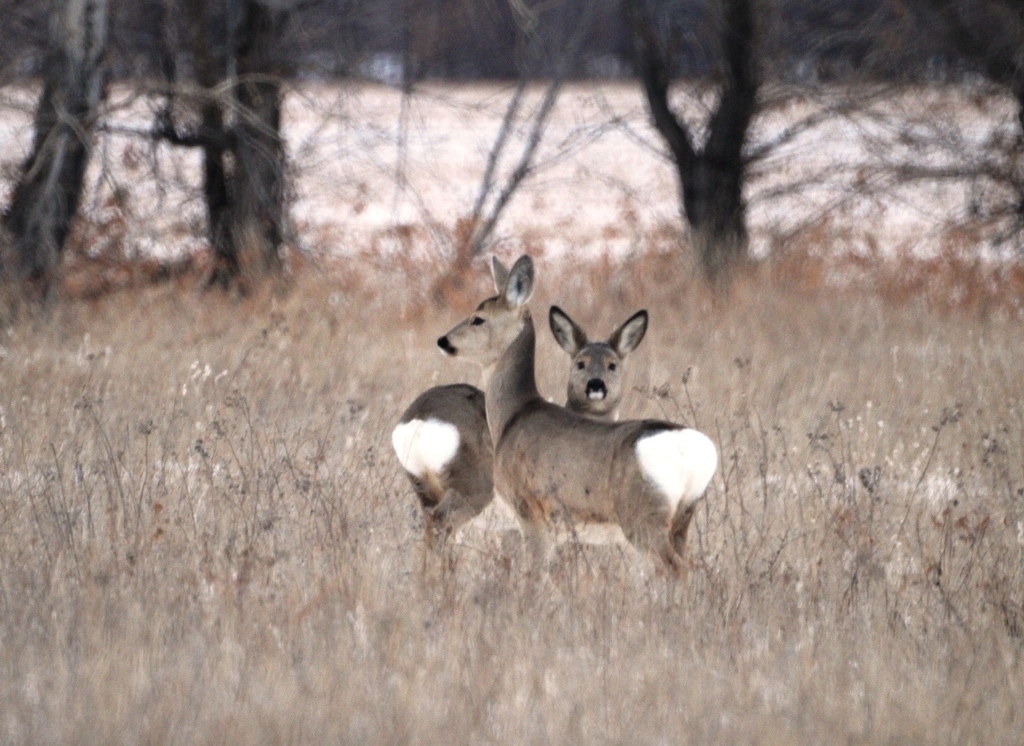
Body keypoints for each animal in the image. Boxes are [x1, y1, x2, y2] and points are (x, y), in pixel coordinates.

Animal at [436, 255, 717, 573]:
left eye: (478, 318)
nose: (443, 340)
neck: (512, 417)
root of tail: (692, 448)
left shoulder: (530, 508)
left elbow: (534, 572)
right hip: (682, 517)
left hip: (644, 513)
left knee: (677, 568)